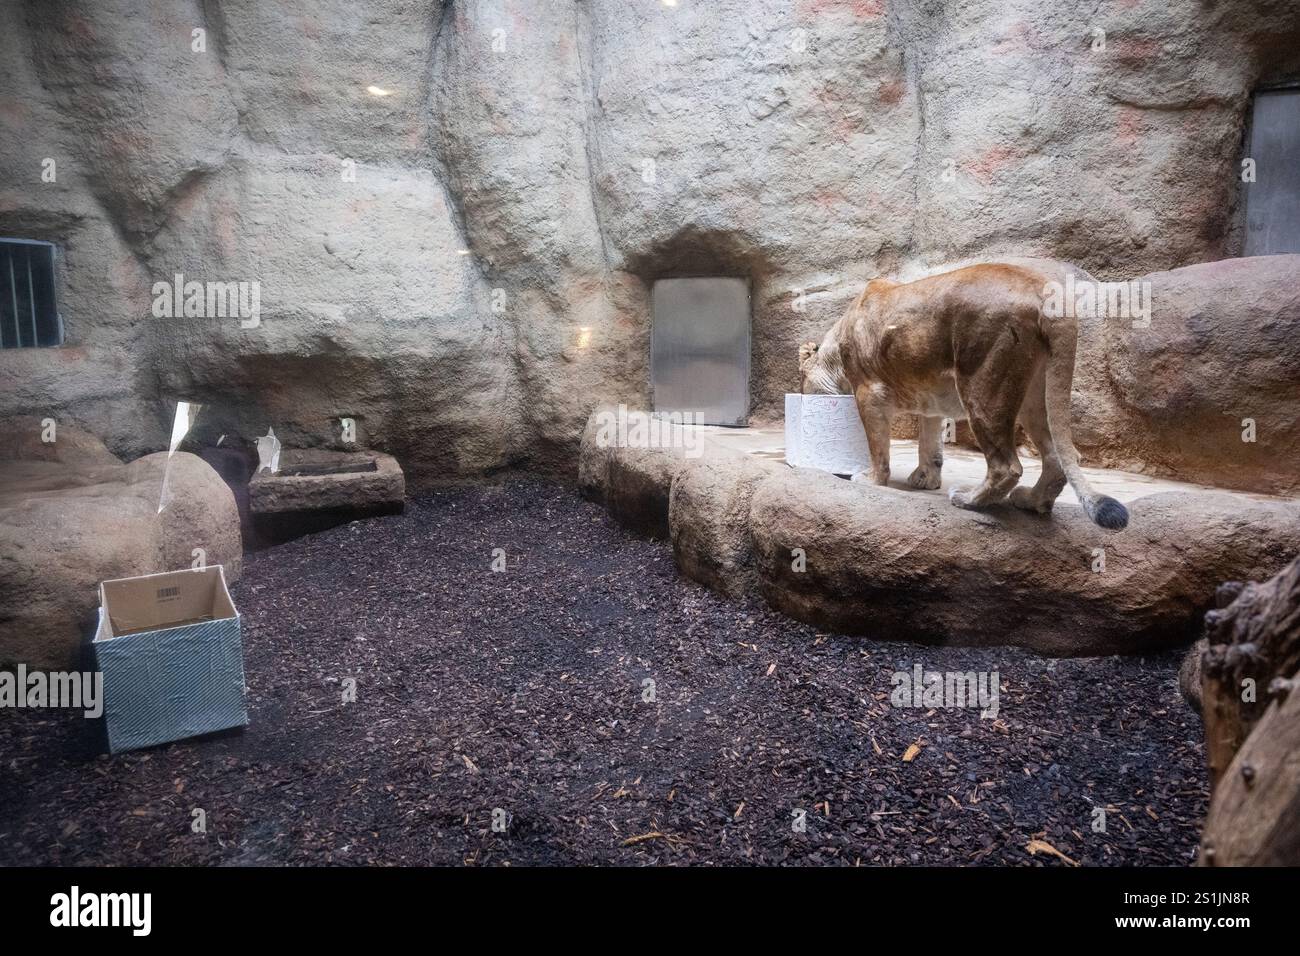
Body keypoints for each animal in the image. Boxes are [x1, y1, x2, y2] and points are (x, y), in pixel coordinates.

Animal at [798, 261, 1129, 530]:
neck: (835, 353)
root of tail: (1048, 294)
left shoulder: (870, 392)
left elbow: (879, 447)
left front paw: (872, 479)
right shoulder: (929, 400)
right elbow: (929, 443)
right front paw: (926, 479)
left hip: (982, 384)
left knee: (1006, 466)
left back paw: (968, 499)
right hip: (1036, 392)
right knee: (1058, 456)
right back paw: (1031, 502)